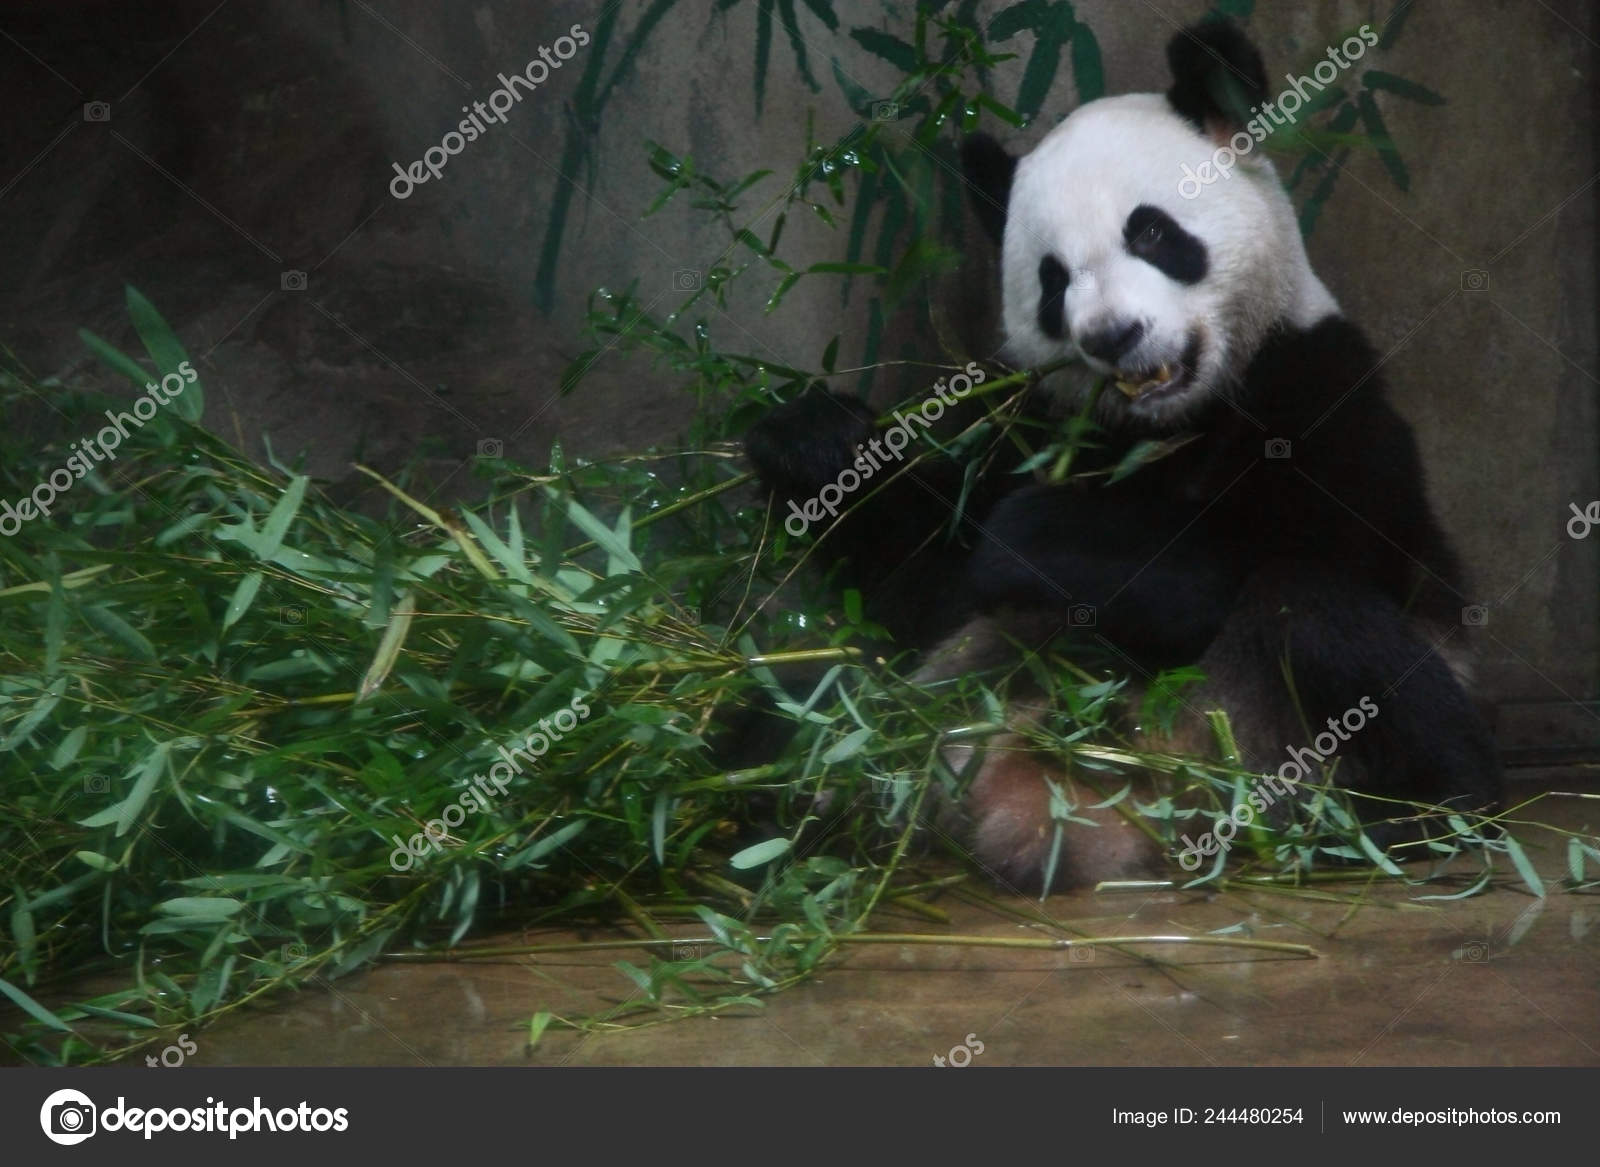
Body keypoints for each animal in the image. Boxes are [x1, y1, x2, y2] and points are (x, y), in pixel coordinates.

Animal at [742, 18, 1502, 892]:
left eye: (1153, 232)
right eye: (1051, 280)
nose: (1112, 336)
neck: (1172, 425)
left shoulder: (1321, 386)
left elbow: (1295, 544)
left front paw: (1035, 533)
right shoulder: (1035, 427)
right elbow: (926, 577)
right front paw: (814, 444)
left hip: (1284, 733)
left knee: (1320, 614)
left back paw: (1426, 806)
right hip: (925, 703)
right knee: (801, 695)